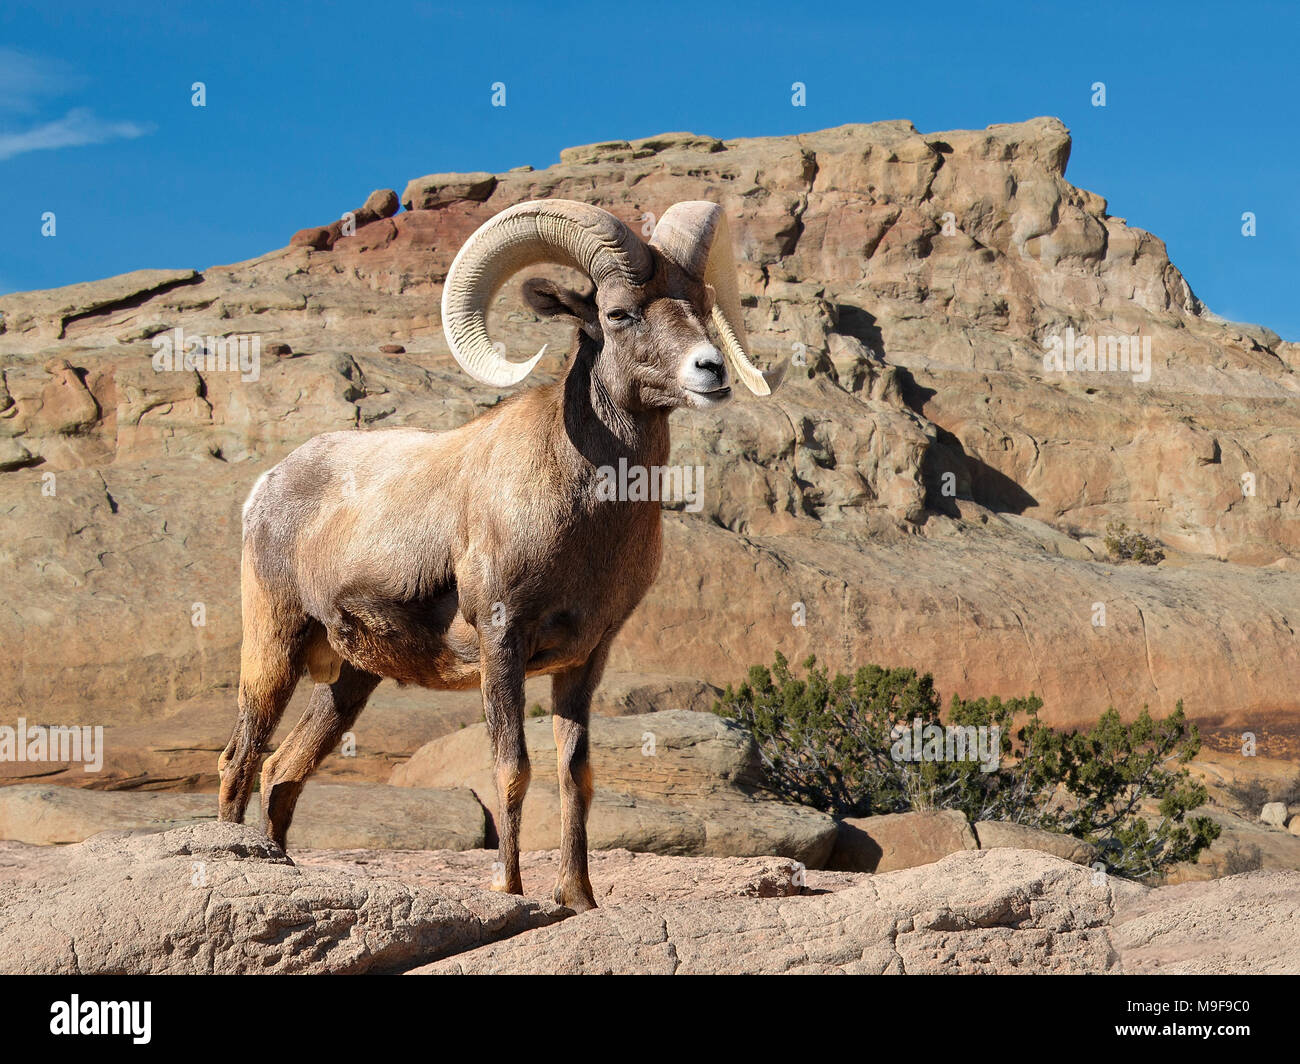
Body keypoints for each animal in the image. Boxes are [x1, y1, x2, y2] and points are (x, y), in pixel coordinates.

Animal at [217, 199, 786, 911]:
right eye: (619, 313)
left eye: (702, 305)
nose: (711, 371)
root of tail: (267, 487)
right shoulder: (501, 640)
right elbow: (512, 769)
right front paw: (511, 891)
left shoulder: (586, 660)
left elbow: (576, 776)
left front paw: (579, 899)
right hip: (276, 645)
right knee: (240, 761)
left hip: (349, 679)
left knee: (281, 770)